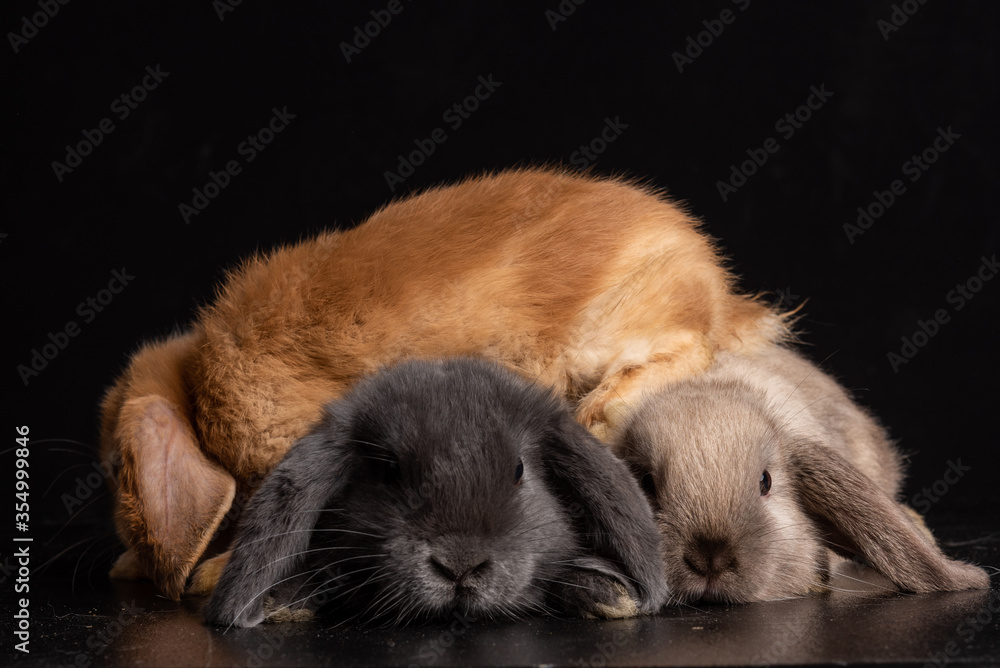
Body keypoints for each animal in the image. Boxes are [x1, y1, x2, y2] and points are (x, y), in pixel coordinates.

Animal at [99, 166, 791, 599]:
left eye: (112, 467)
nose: (126, 550)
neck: (194, 391)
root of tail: (713, 285)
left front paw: (207, 576)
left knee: (682, 352)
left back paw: (601, 409)